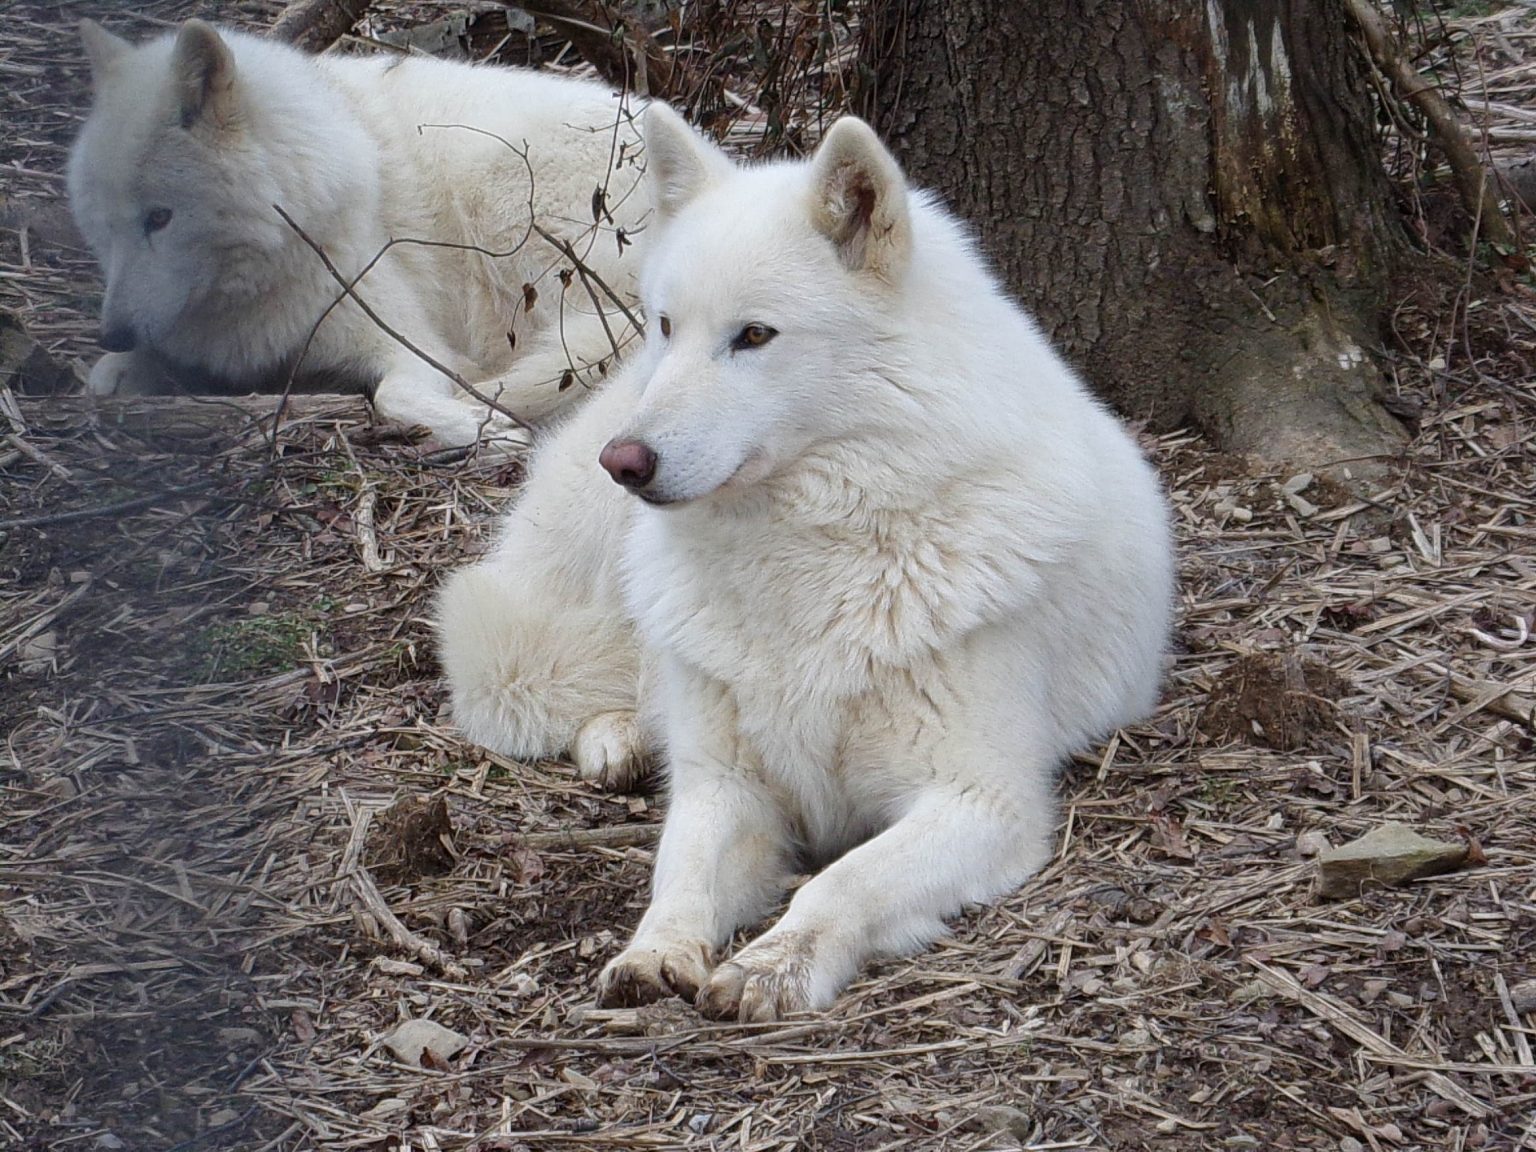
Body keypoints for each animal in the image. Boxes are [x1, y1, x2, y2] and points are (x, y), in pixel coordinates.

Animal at [67, 19, 649, 449]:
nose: (111, 333)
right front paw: (119, 366)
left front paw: (481, 428)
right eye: (105, 221)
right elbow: (107, 379)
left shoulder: (408, 343)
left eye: (159, 218)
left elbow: (393, 397)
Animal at [436, 104, 1175, 1019]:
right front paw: (655, 955)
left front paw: (772, 966)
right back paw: (622, 740)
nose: (625, 462)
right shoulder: (728, 786)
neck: (806, 552)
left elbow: (843, 880)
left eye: (754, 336)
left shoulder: (981, 800)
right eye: (668, 325)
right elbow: (680, 874)